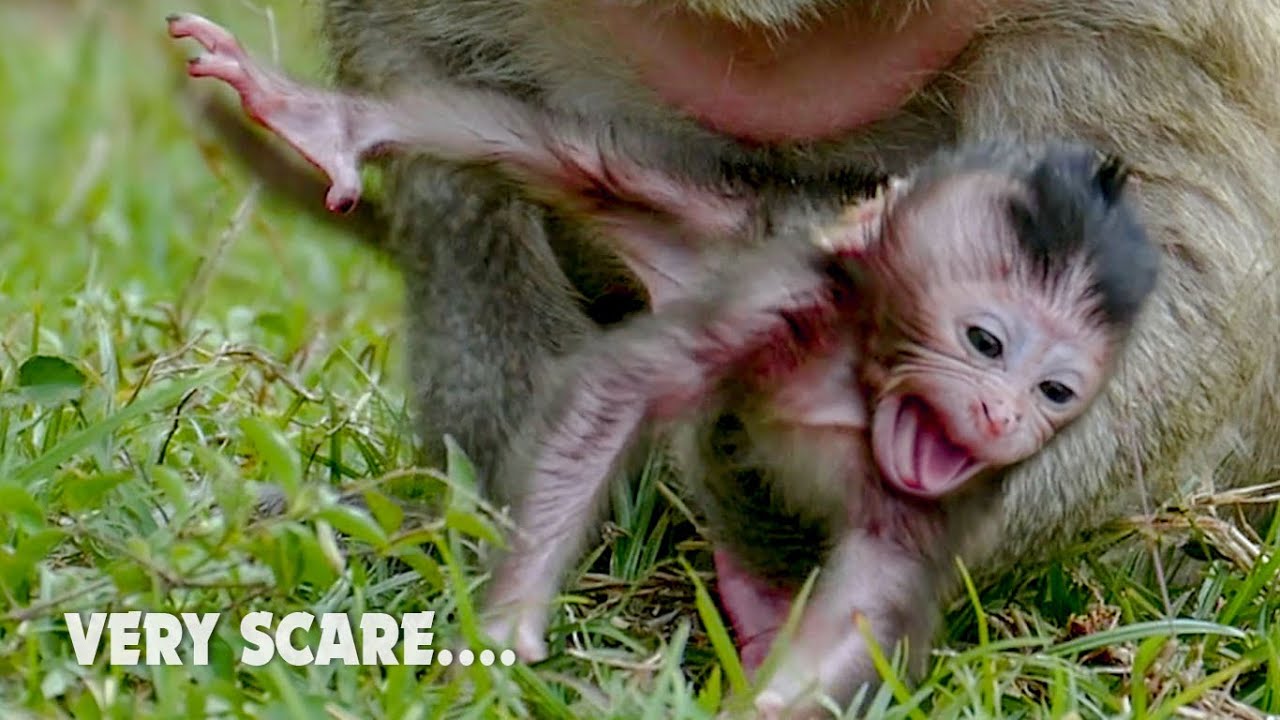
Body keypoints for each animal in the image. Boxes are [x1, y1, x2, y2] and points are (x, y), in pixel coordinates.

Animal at [164, 17, 1161, 715]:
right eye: (985, 341)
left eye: (1056, 391)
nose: (1002, 415)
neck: (860, 387)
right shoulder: (788, 297)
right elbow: (618, 386)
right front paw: (507, 632)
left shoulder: (944, 492)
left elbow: (870, 602)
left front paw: (771, 702)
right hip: (724, 225)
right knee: (565, 159)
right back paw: (326, 124)